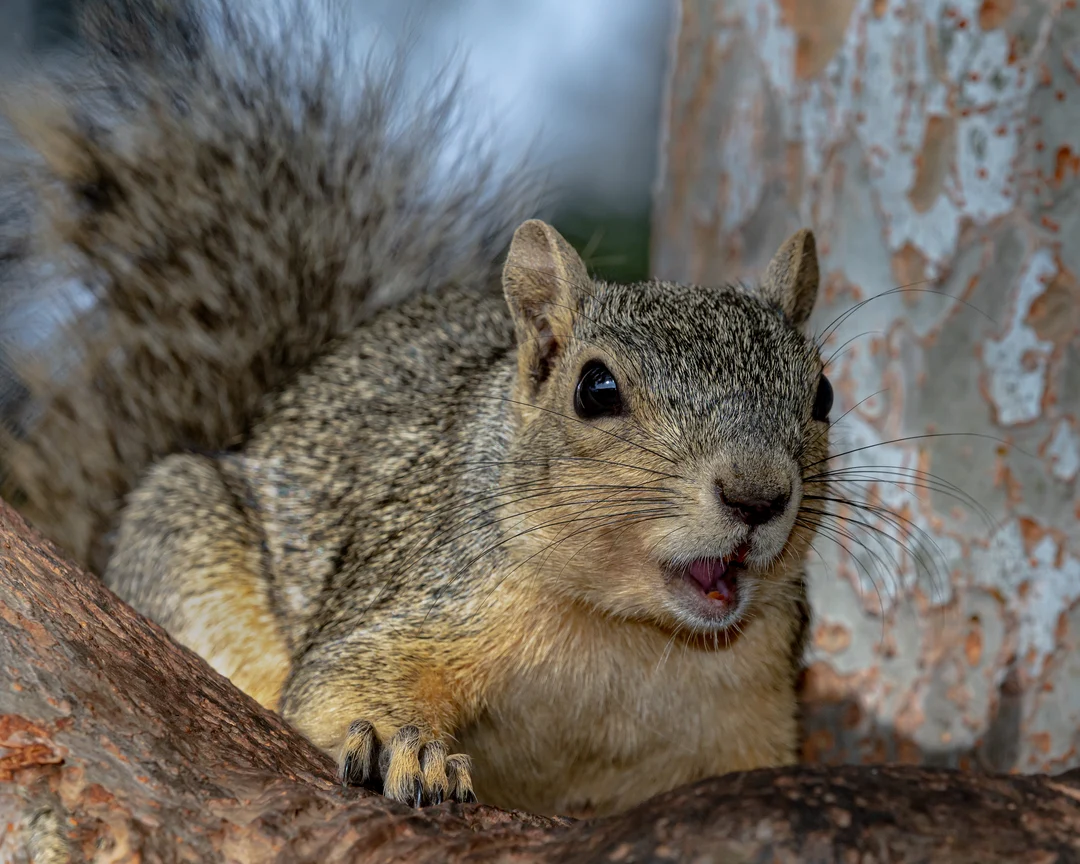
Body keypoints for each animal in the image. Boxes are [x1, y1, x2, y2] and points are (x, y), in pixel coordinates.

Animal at [0, 0, 833, 817]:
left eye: (823, 394)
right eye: (596, 390)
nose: (757, 496)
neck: (623, 628)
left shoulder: (753, 708)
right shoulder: (423, 591)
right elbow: (339, 681)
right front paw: (400, 748)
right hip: (182, 534)